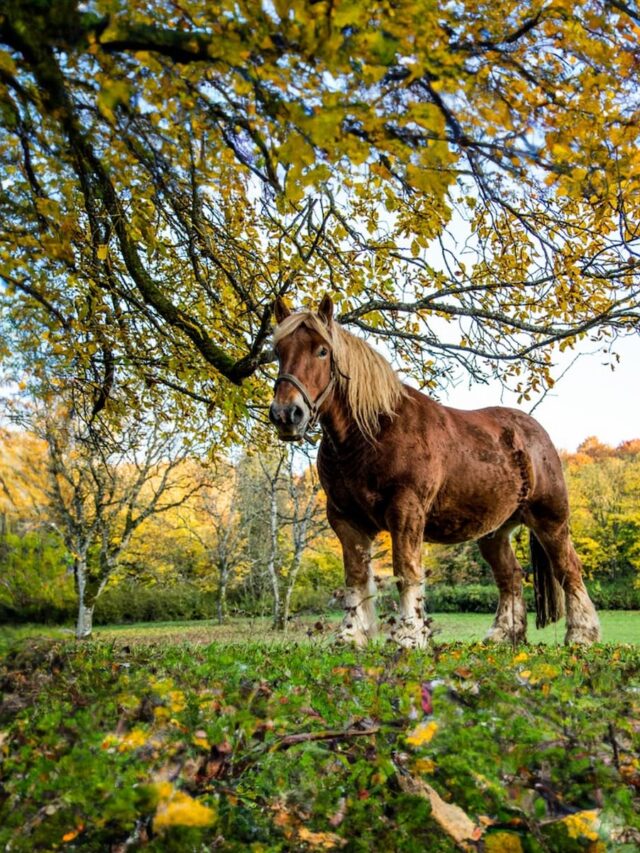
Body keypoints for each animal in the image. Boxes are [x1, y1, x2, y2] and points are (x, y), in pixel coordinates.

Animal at [269, 294, 601, 648]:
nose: (286, 414)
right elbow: (356, 576)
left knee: (568, 568)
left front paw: (409, 635)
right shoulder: (345, 518)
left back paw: (581, 635)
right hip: (494, 532)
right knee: (510, 575)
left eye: (322, 350)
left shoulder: (406, 511)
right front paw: (351, 634)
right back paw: (502, 634)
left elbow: (406, 571)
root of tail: (537, 434)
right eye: (278, 351)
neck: (371, 434)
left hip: (551, 521)